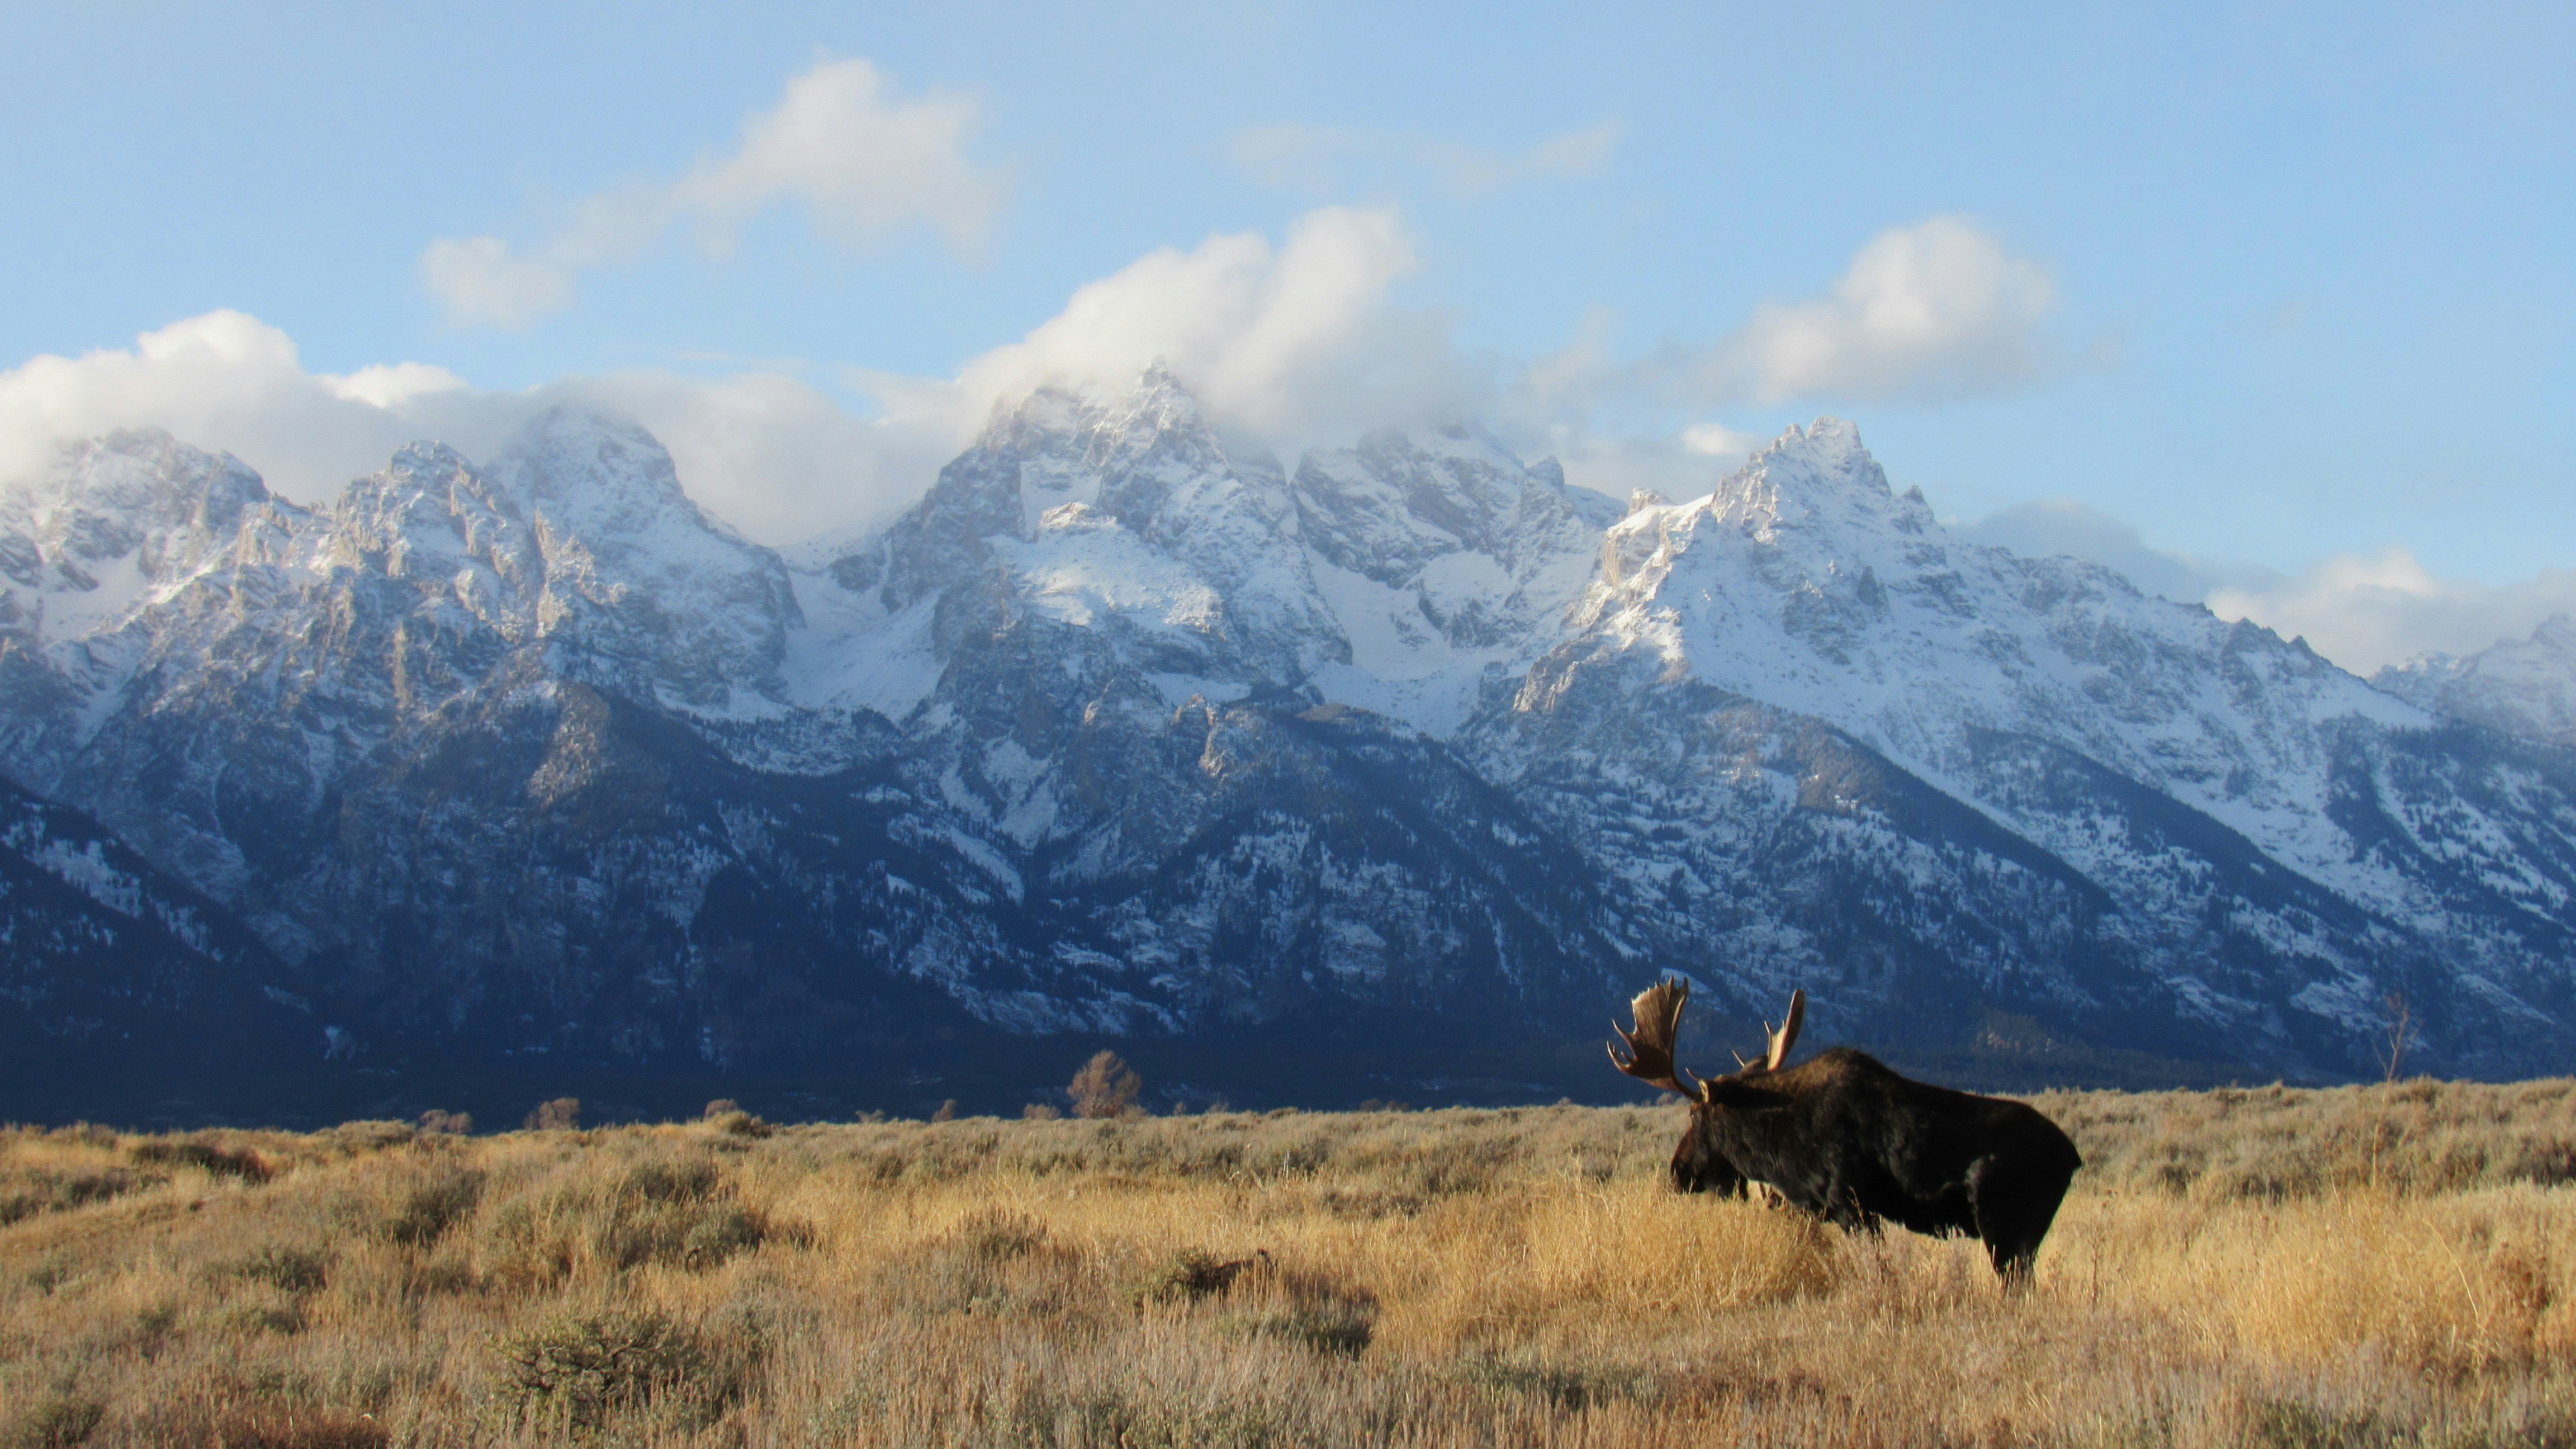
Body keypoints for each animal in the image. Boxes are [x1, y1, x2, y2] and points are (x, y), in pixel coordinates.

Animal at [1609, 978, 2082, 1283]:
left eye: (1694, 1115)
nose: (1678, 1170)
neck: (1779, 1148)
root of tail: (2074, 1157)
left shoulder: (1853, 1204)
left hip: (2005, 1227)